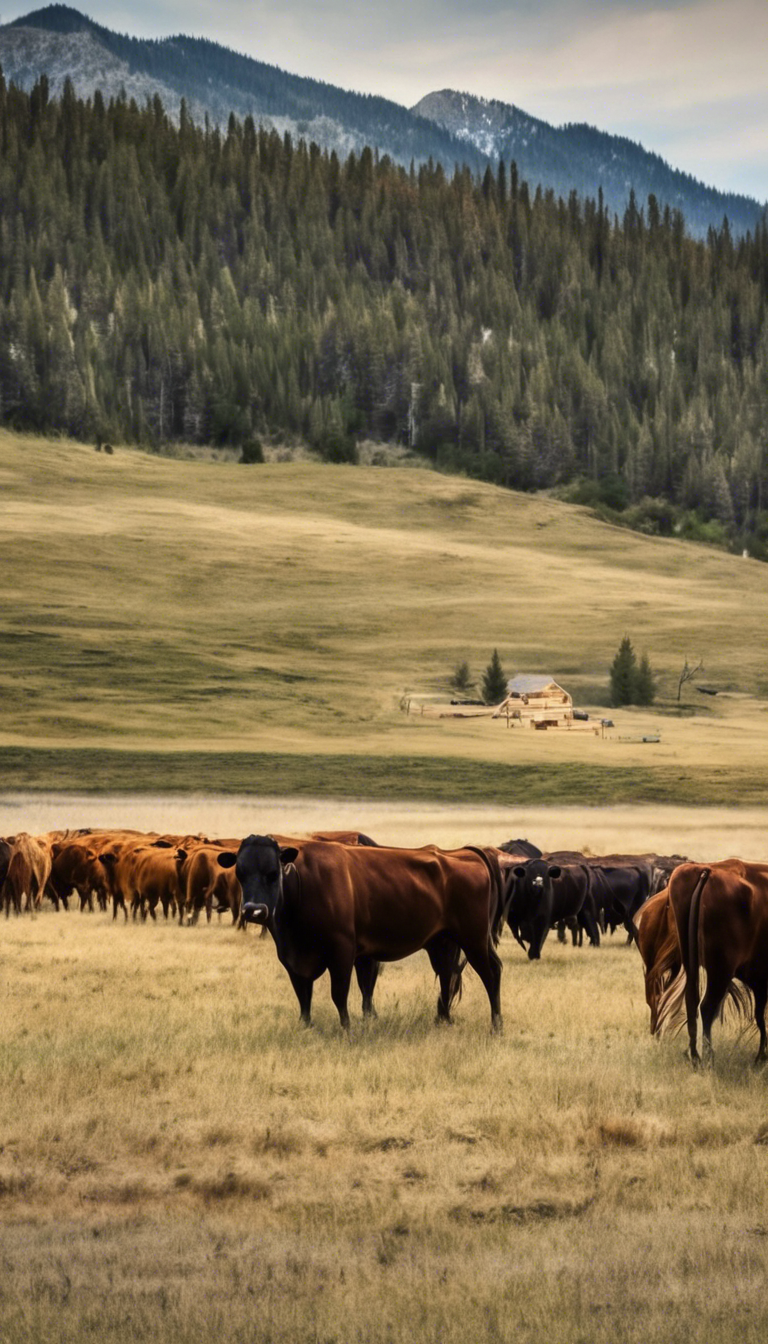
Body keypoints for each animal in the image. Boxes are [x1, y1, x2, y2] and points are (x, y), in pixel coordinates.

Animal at [217, 836, 505, 1031]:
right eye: (240, 873)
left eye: (273, 873)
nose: (253, 910)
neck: (303, 883)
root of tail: (465, 853)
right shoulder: (293, 960)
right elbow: (303, 995)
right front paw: (305, 1026)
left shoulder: (342, 952)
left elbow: (339, 993)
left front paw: (347, 1029)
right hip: (442, 942)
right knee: (447, 976)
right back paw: (441, 1020)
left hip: (475, 941)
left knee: (491, 973)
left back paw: (496, 1025)